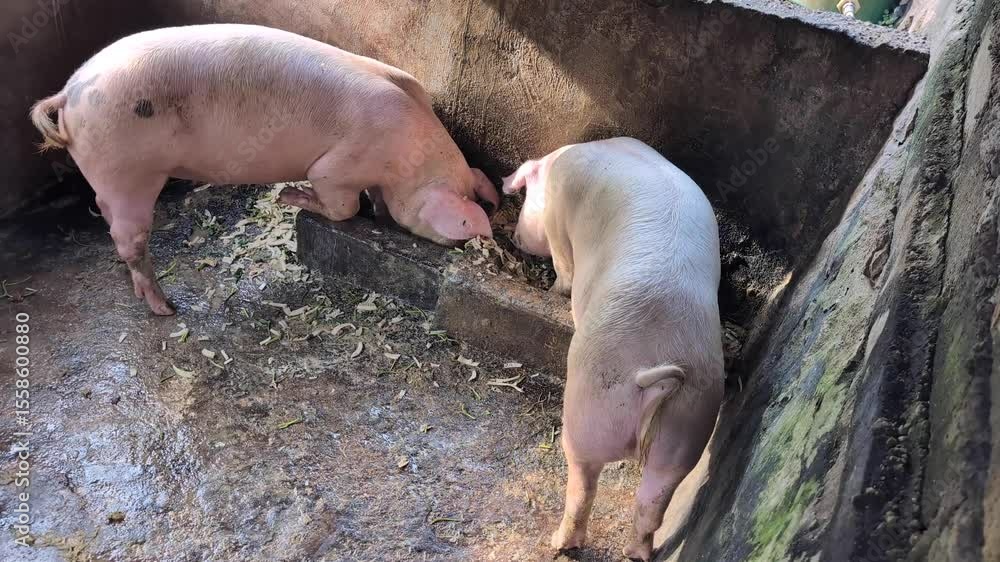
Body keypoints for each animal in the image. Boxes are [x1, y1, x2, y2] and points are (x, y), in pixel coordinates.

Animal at [30, 24, 498, 316]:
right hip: (127, 169)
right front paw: (292, 197)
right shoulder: (336, 167)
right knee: (130, 238)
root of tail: (68, 94)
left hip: (109, 174)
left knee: (109, 217)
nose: (462, 244)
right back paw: (164, 308)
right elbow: (341, 206)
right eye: (457, 232)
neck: (408, 158)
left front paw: (378, 215)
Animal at [503, 137, 724, 561]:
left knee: (582, 486)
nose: (516, 239)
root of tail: (656, 370)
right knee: (652, 503)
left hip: (588, 411)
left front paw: (554, 291)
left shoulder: (558, 223)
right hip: (688, 426)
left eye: (525, 196)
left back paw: (561, 544)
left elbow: (564, 268)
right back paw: (637, 554)